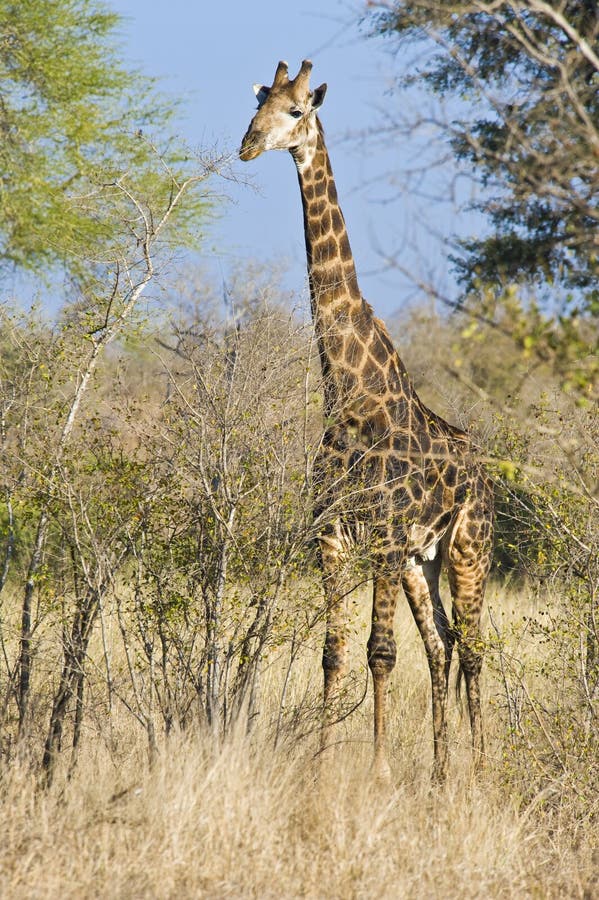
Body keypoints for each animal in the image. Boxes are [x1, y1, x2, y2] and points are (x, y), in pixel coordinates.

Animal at [240, 60, 494, 781]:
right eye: (258, 104)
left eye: (298, 111)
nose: (248, 146)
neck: (348, 391)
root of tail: (485, 477)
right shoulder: (332, 538)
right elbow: (335, 651)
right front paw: (323, 767)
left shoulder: (380, 538)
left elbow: (381, 653)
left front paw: (376, 771)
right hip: (420, 561)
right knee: (441, 643)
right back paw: (439, 771)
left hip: (469, 547)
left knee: (470, 646)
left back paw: (478, 768)